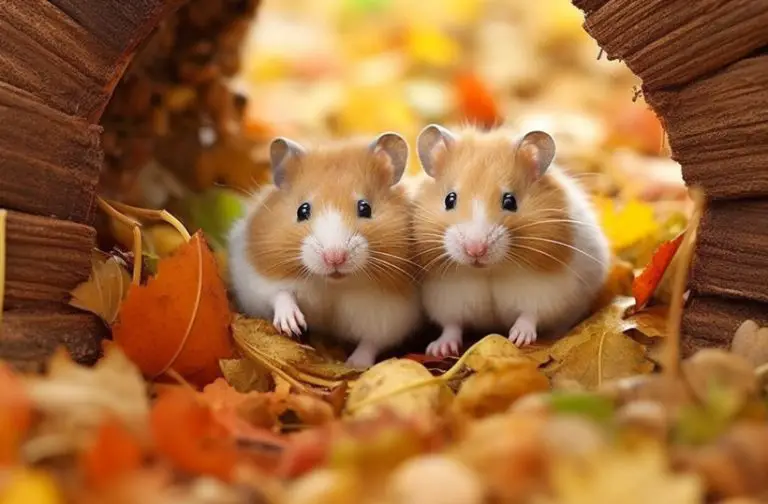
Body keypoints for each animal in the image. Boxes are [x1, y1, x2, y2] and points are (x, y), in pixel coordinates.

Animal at [228, 132, 421, 368]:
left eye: (365, 208)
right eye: (302, 210)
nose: (334, 258)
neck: (333, 285)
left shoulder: (389, 317)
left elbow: (370, 343)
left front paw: (354, 365)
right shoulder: (256, 280)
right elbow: (279, 294)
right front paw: (292, 325)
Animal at [412, 124, 610, 358]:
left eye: (510, 201)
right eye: (449, 199)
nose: (475, 250)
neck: (490, 270)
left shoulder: (546, 292)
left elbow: (530, 315)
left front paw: (518, 339)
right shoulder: (446, 296)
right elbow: (452, 325)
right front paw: (438, 349)